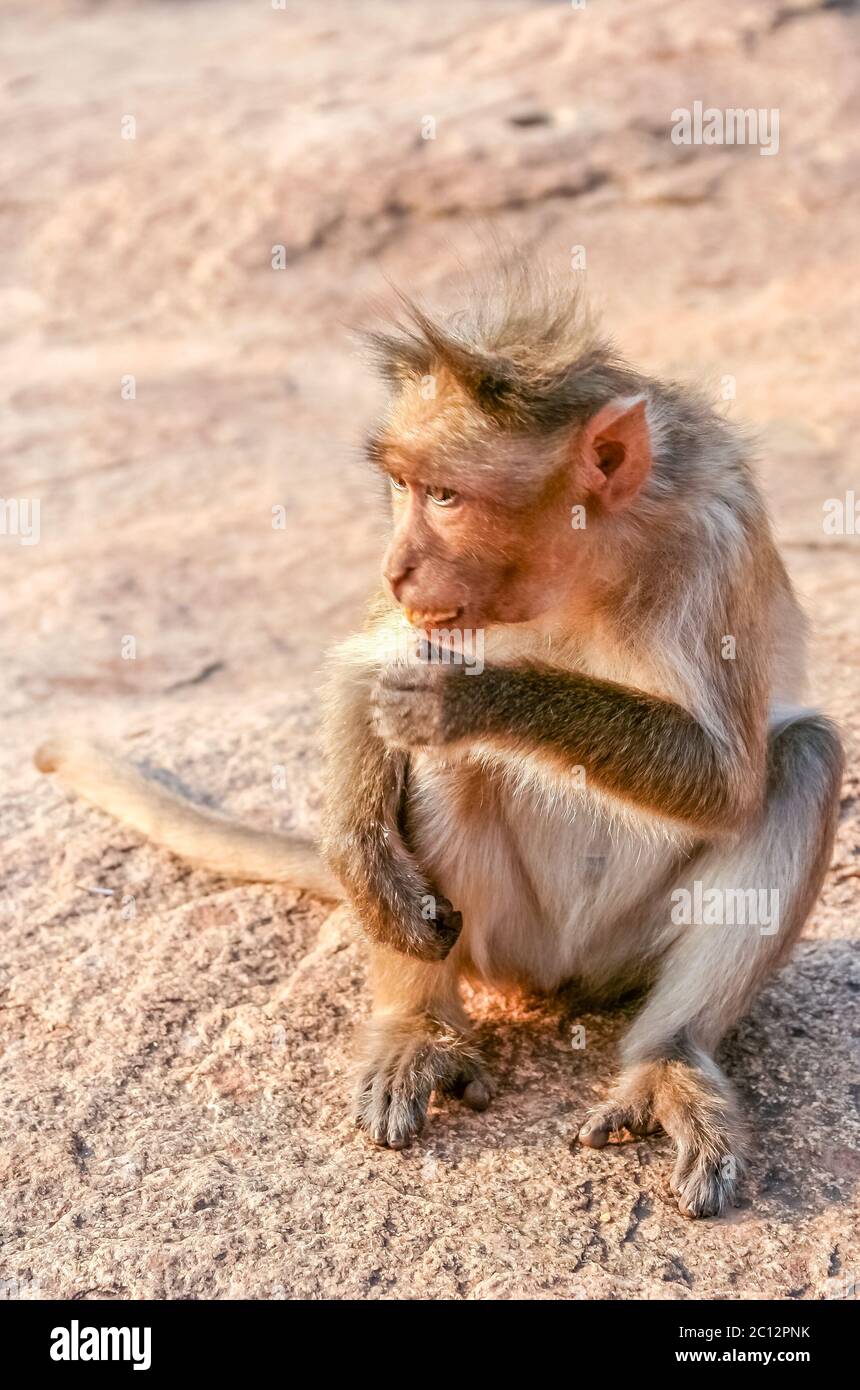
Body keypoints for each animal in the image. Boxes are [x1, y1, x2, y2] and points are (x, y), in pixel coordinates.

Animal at [36, 268, 843, 1219]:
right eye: (401, 485)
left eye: (447, 496)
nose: (396, 567)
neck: (588, 567)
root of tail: (560, 982)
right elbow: (367, 669)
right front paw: (356, 844)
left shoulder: (717, 542)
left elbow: (726, 778)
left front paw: (474, 695)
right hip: (499, 940)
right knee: (438, 776)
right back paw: (420, 1029)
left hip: (621, 953)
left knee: (803, 756)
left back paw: (667, 1059)